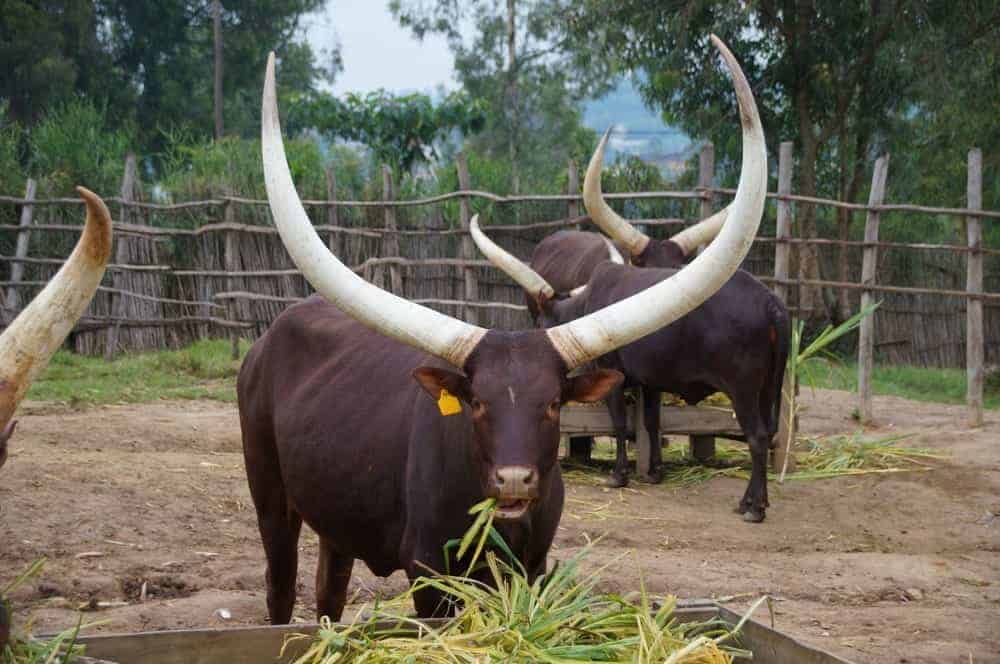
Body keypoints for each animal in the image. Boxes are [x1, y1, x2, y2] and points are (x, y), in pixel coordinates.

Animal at [242, 34, 767, 623]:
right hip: (270, 496)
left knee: (328, 592)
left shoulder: (531, 566)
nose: (514, 479)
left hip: (336, 515)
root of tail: (269, 337)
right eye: (477, 403)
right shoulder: (428, 572)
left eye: (554, 403)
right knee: (280, 586)